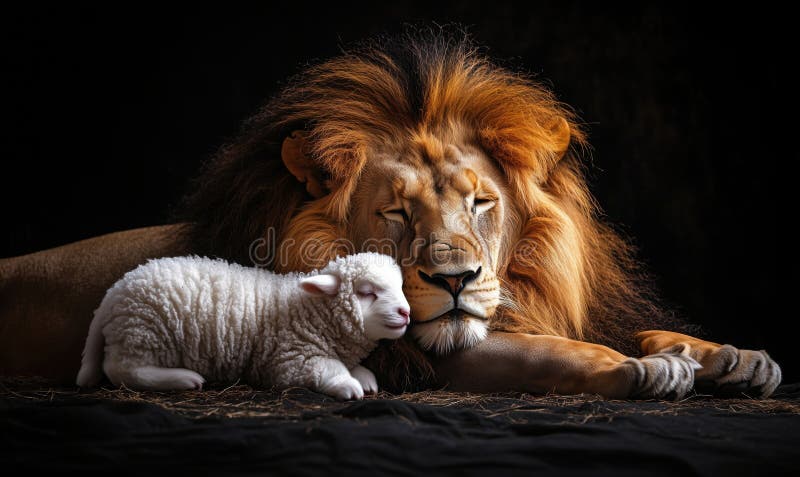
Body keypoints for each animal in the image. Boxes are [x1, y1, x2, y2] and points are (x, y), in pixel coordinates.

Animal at [75, 252, 410, 400]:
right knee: (121, 369)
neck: (310, 310)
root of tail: (114, 291)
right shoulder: (290, 359)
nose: (406, 312)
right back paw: (181, 378)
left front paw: (364, 376)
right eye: (367, 292)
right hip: (144, 330)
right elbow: (328, 367)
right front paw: (348, 384)